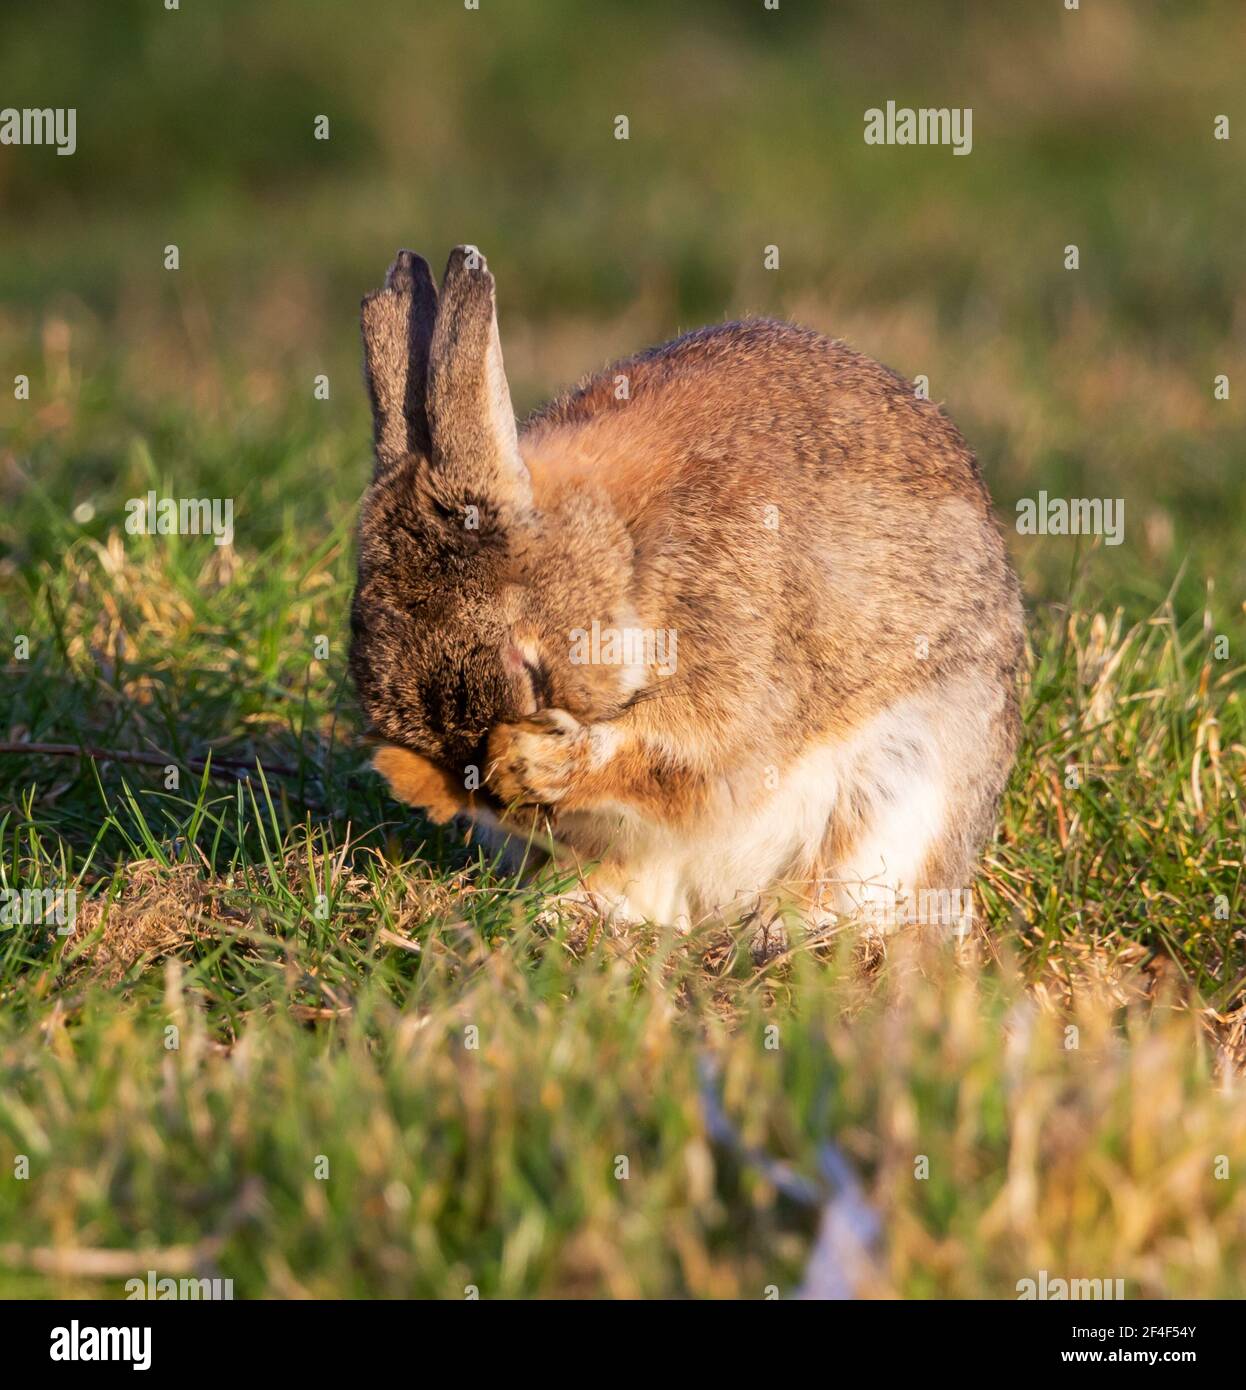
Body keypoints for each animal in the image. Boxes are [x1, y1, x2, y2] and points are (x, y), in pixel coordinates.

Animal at [350, 246, 1025, 935]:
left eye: (533, 671)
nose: (501, 801)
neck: (622, 553)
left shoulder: (739, 663)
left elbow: (686, 752)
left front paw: (530, 760)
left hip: (908, 784)